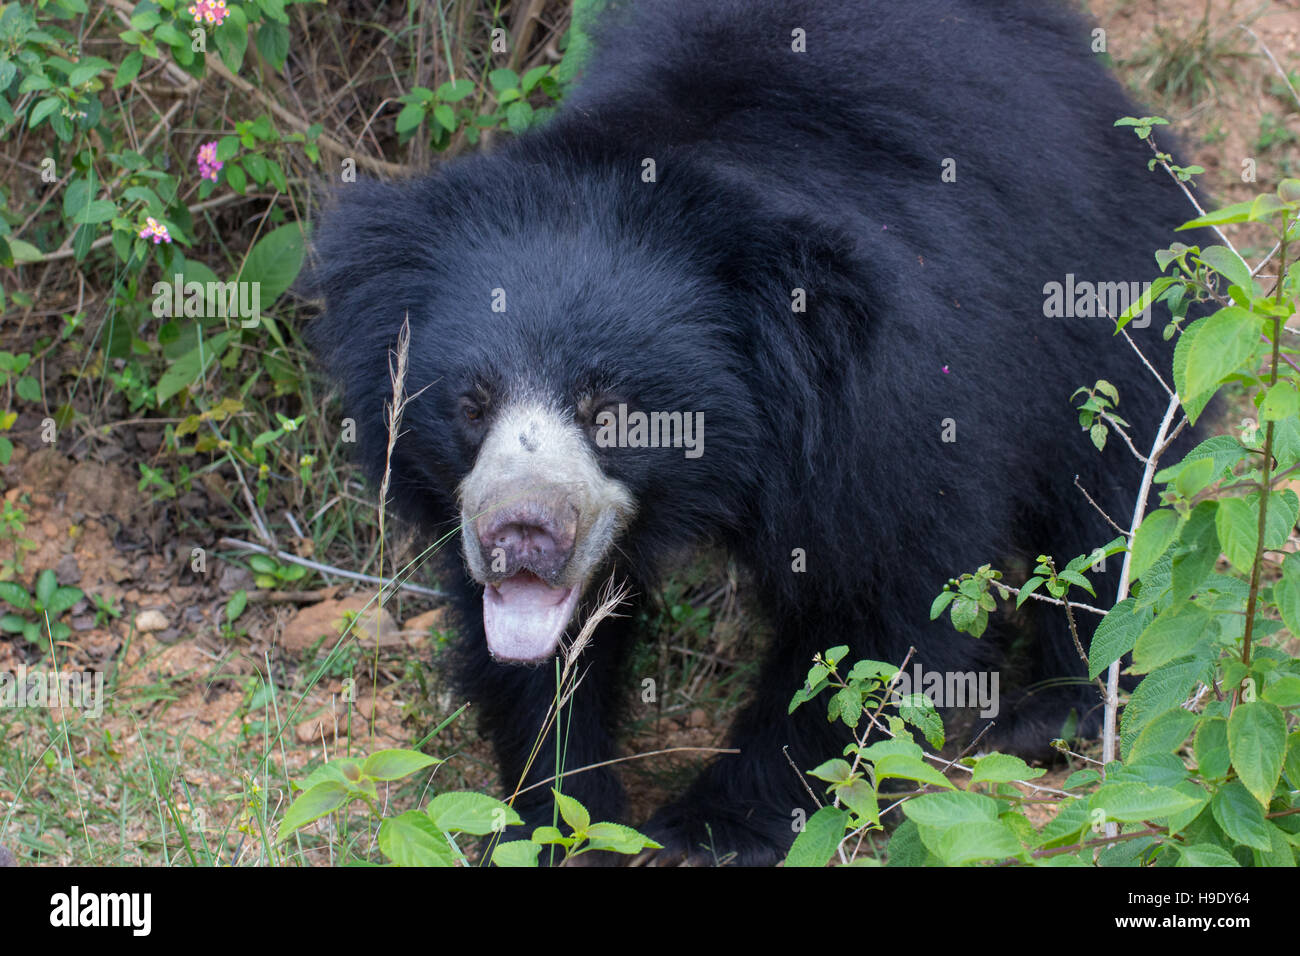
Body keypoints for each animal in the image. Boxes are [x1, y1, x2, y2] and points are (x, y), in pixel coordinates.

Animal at [307, 0, 1197, 865]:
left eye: (613, 413)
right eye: (471, 405)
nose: (521, 535)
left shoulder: (885, 405)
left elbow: (872, 602)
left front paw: (708, 831)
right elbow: (539, 659)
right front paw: (561, 813)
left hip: (1107, 291)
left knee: (1109, 504)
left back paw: (1051, 712)